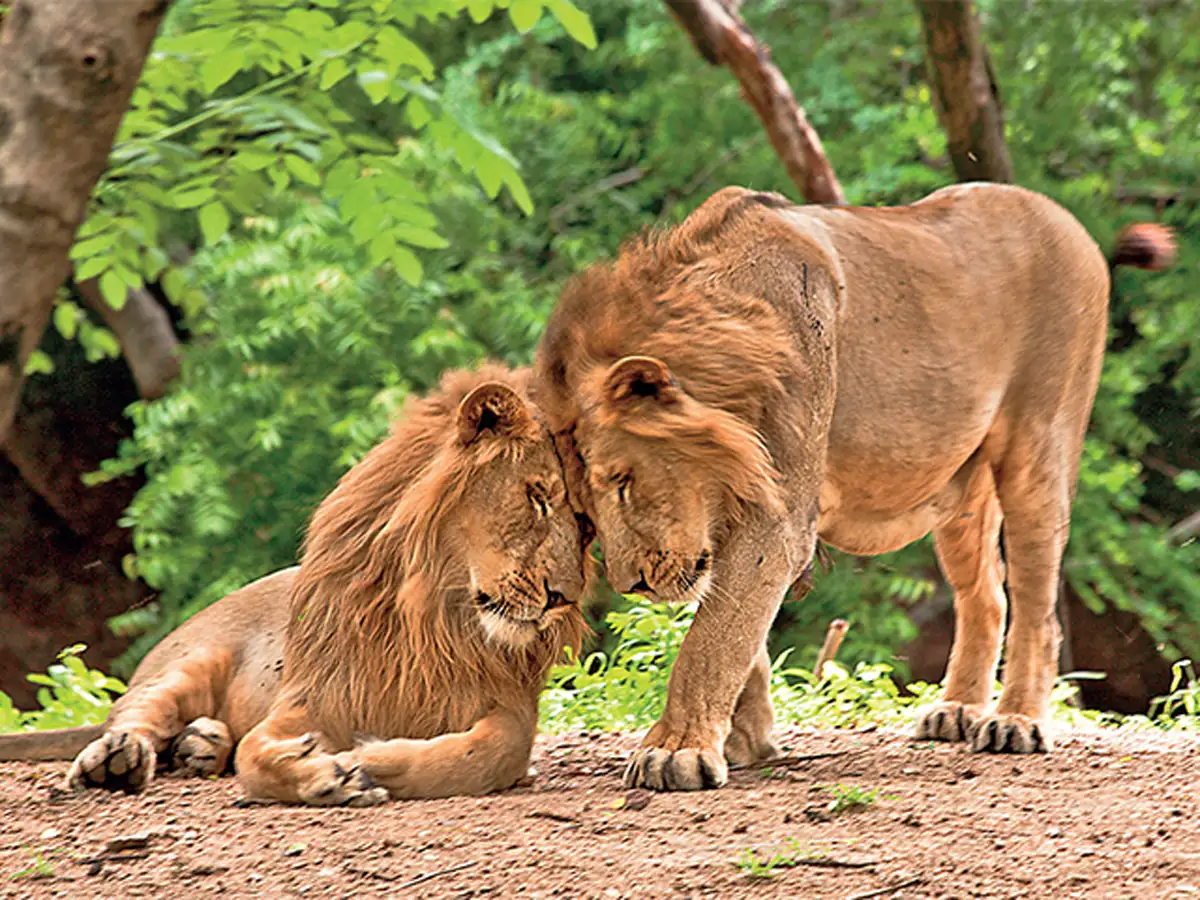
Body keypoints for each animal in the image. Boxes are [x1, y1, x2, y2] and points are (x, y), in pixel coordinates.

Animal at [0, 366, 589, 805]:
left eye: (585, 525)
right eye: (538, 497)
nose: (561, 597)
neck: (434, 614)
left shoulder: (510, 708)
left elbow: (484, 754)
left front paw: (370, 758)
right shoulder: (312, 700)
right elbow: (256, 758)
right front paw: (331, 774)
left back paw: (200, 745)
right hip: (188, 660)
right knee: (131, 715)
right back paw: (117, 761)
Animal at [533, 183, 1174, 792]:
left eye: (621, 480)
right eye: (584, 511)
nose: (632, 584)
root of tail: (1068, 222)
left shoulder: (780, 518)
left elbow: (710, 642)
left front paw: (676, 751)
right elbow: (739, 633)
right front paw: (748, 740)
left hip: (1039, 449)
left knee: (1039, 606)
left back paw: (1016, 721)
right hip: (958, 490)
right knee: (987, 596)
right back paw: (956, 711)